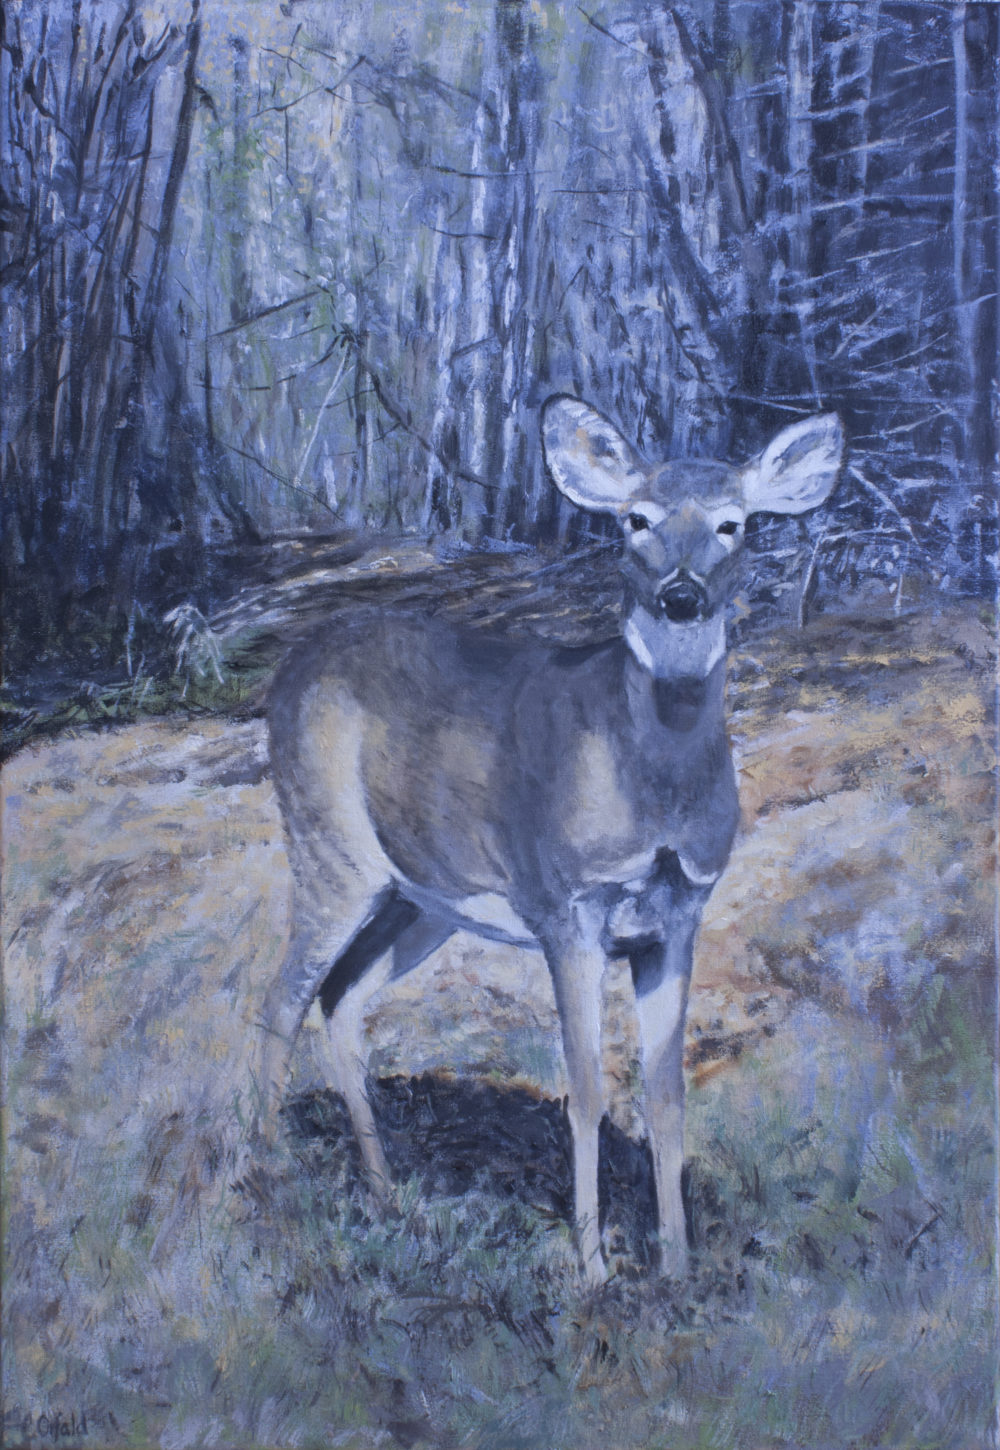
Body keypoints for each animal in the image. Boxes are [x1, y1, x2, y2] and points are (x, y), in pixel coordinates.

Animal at [258, 396, 843, 1281]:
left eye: (733, 523)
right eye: (636, 519)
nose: (680, 594)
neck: (652, 786)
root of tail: (292, 665)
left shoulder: (680, 912)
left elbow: (664, 1090)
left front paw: (677, 1264)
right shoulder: (570, 906)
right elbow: (588, 1089)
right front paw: (592, 1266)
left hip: (420, 897)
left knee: (342, 998)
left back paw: (386, 1192)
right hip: (327, 847)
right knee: (281, 1001)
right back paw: (252, 1175)